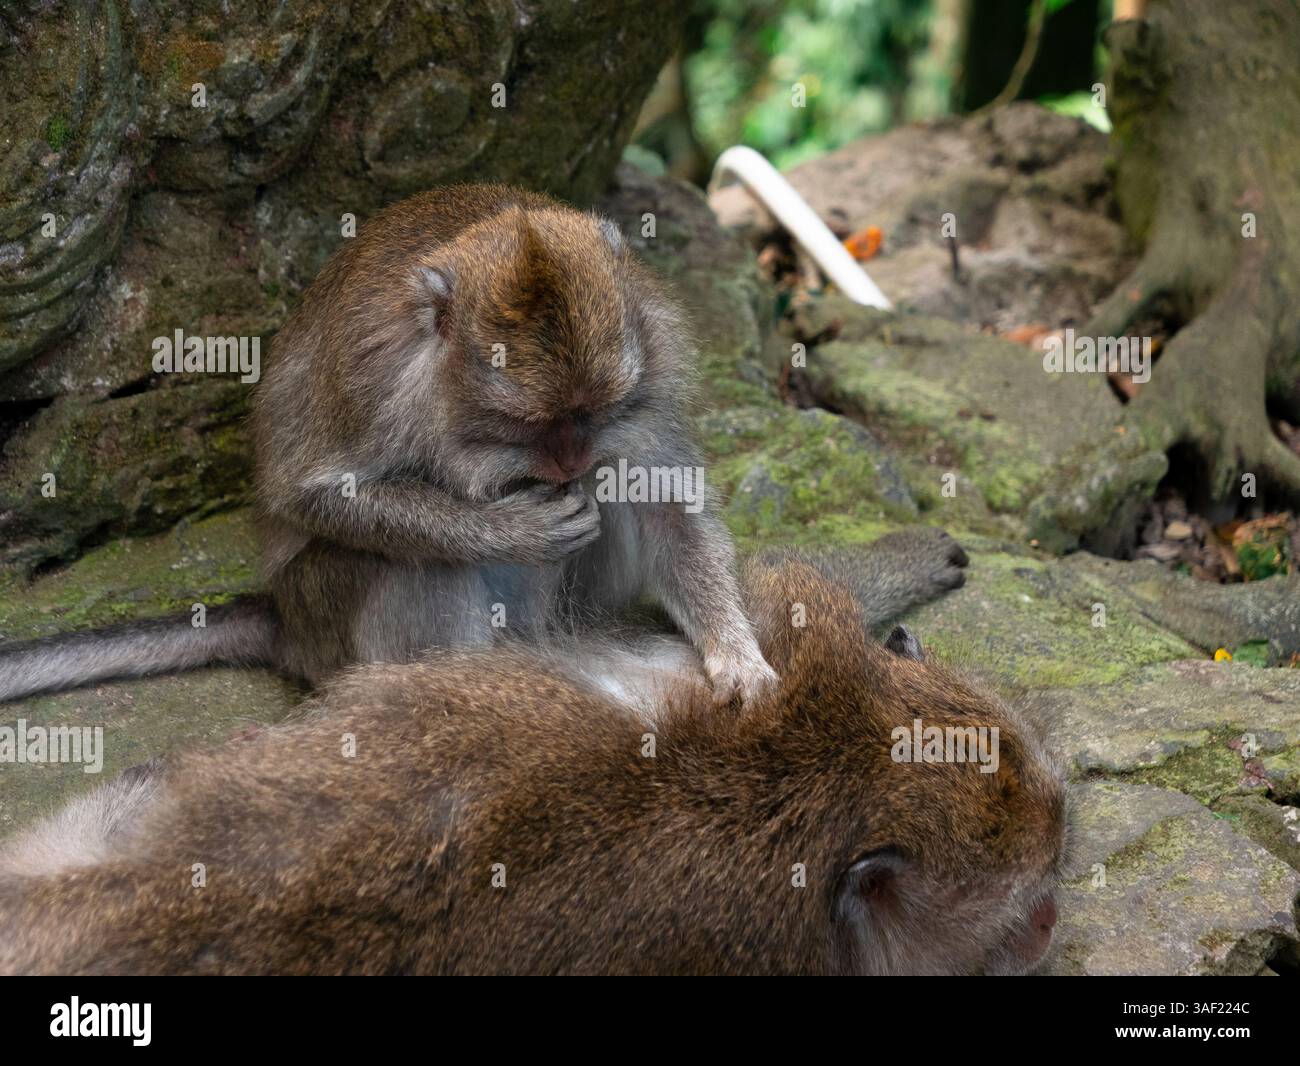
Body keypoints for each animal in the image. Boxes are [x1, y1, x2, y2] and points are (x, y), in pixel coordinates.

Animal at [0, 183, 776, 706]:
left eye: (593, 410)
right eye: (524, 426)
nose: (569, 461)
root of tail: (287, 621)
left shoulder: (655, 358)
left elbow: (663, 502)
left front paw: (737, 657)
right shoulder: (373, 379)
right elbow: (316, 493)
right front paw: (511, 530)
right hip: (325, 614)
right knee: (413, 563)